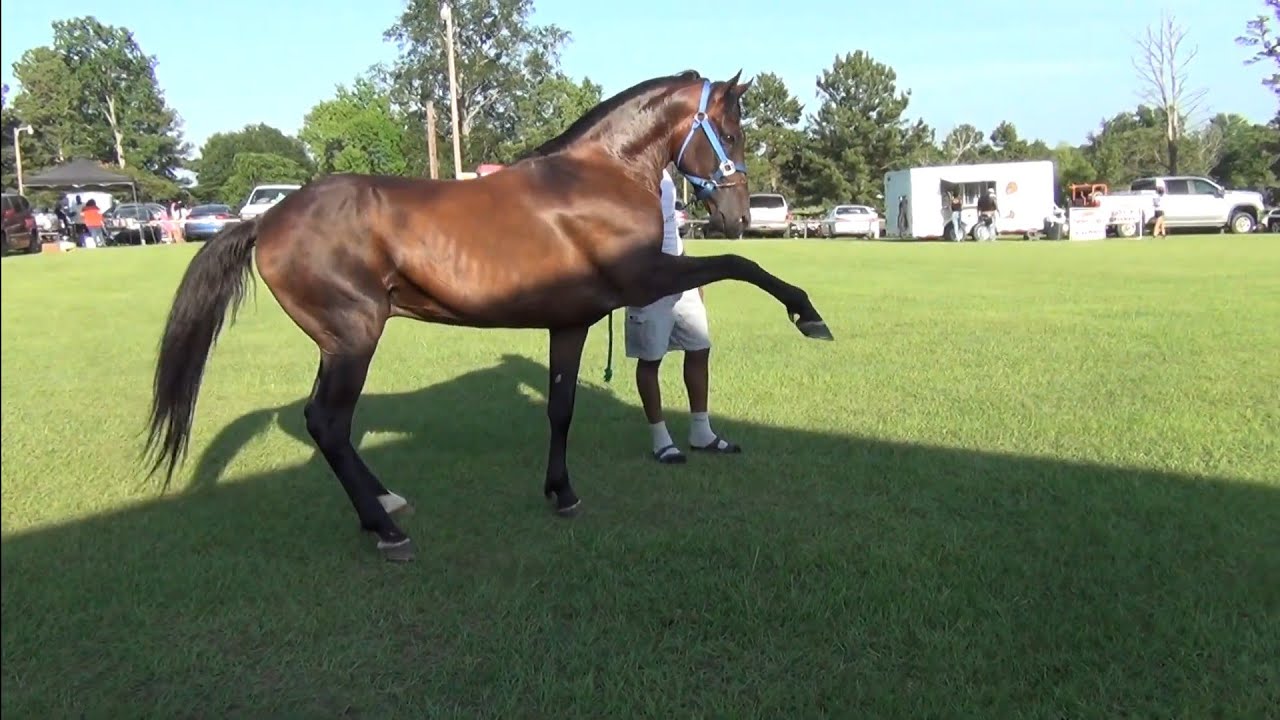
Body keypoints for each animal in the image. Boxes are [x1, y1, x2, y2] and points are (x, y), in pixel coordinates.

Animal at [143, 69, 834, 562]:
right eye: (733, 135)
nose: (738, 215)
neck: (595, 178)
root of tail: (266, 221)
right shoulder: (647, 277)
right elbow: (740, 264)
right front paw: (806, 312)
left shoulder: (572, 321)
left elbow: (561, 408)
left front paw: (561, 492)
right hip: (354, 338)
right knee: (328, 424)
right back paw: (385, 530)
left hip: (337, 344)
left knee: (331, 426)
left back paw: (387, 501)